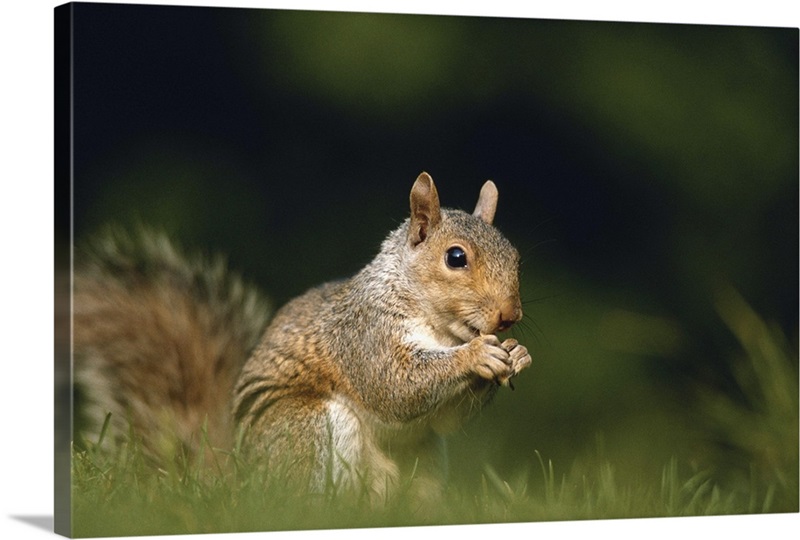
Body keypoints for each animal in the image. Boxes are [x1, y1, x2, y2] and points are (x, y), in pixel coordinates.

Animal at [73, 172, 531, 503]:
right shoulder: (363, 335)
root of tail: (238, 477)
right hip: (304, 428)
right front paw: (476, 356)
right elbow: (394, 386)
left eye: (516, 257)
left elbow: (445, 418)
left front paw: (518, 353)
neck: (440, 329)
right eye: (456, 257)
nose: (510, 316)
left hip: (425, 459)